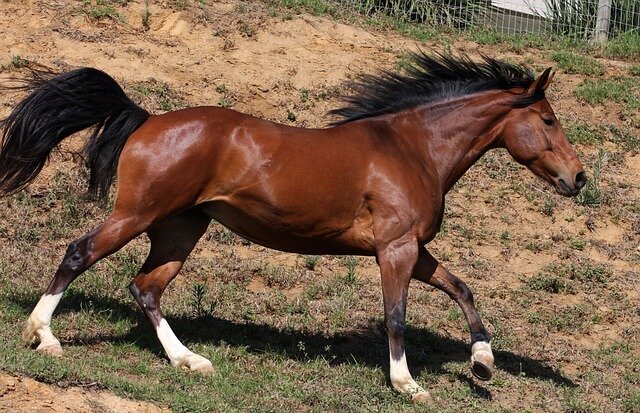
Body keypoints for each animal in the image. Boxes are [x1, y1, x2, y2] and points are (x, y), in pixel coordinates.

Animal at [0, 52, 585, 402]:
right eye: (549, 120)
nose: (578, 178)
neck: (412, 148)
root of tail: (147, 119)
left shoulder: (411, 248)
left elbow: (463, 289)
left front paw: (483, 362)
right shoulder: (395, 250)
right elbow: (396, 316)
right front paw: (406, 384)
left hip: (180, 228)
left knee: (146, 287)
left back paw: (191, 361)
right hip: (137, 214)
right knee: (79, 253)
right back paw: (42, 335)